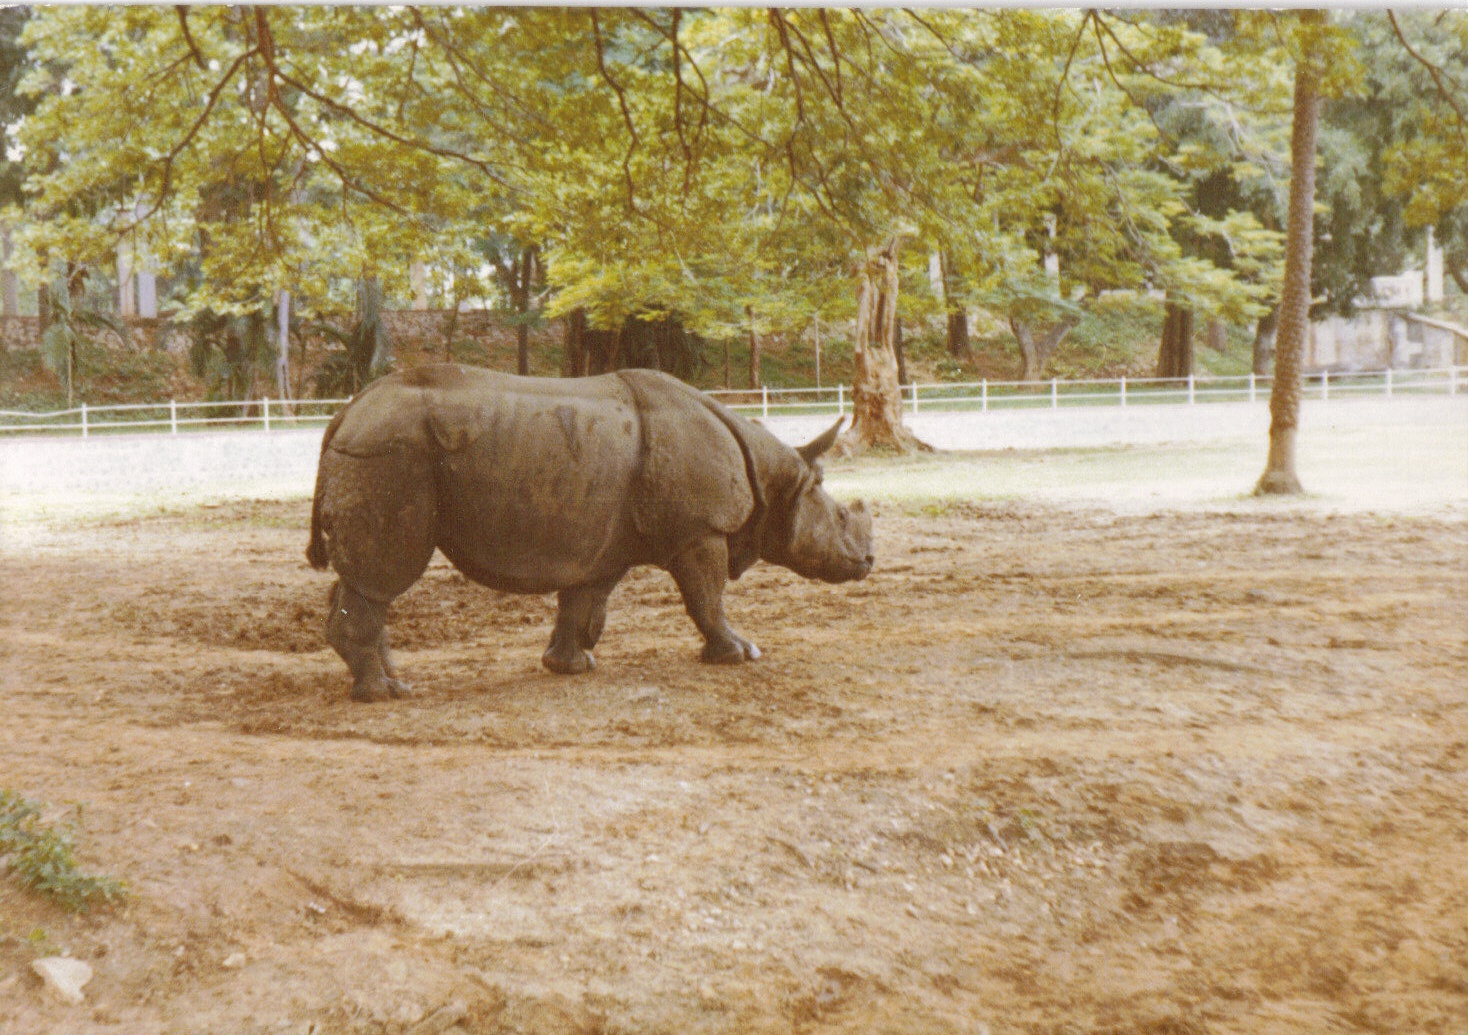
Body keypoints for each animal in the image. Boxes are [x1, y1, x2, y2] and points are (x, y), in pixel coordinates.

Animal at [306, 363, 874, 701]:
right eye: (840, 518)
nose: (869, 562)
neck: (776, 477)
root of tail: (346, 412)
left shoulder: (603, 544)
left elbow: (584, 603)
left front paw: (571, 666)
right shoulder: (700, 531)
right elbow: (706, 598)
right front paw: (740, 654)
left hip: (384, 447)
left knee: (369, 583)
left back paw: (392, 683)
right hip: (390, 453)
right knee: (384, 576)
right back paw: (384, 694)